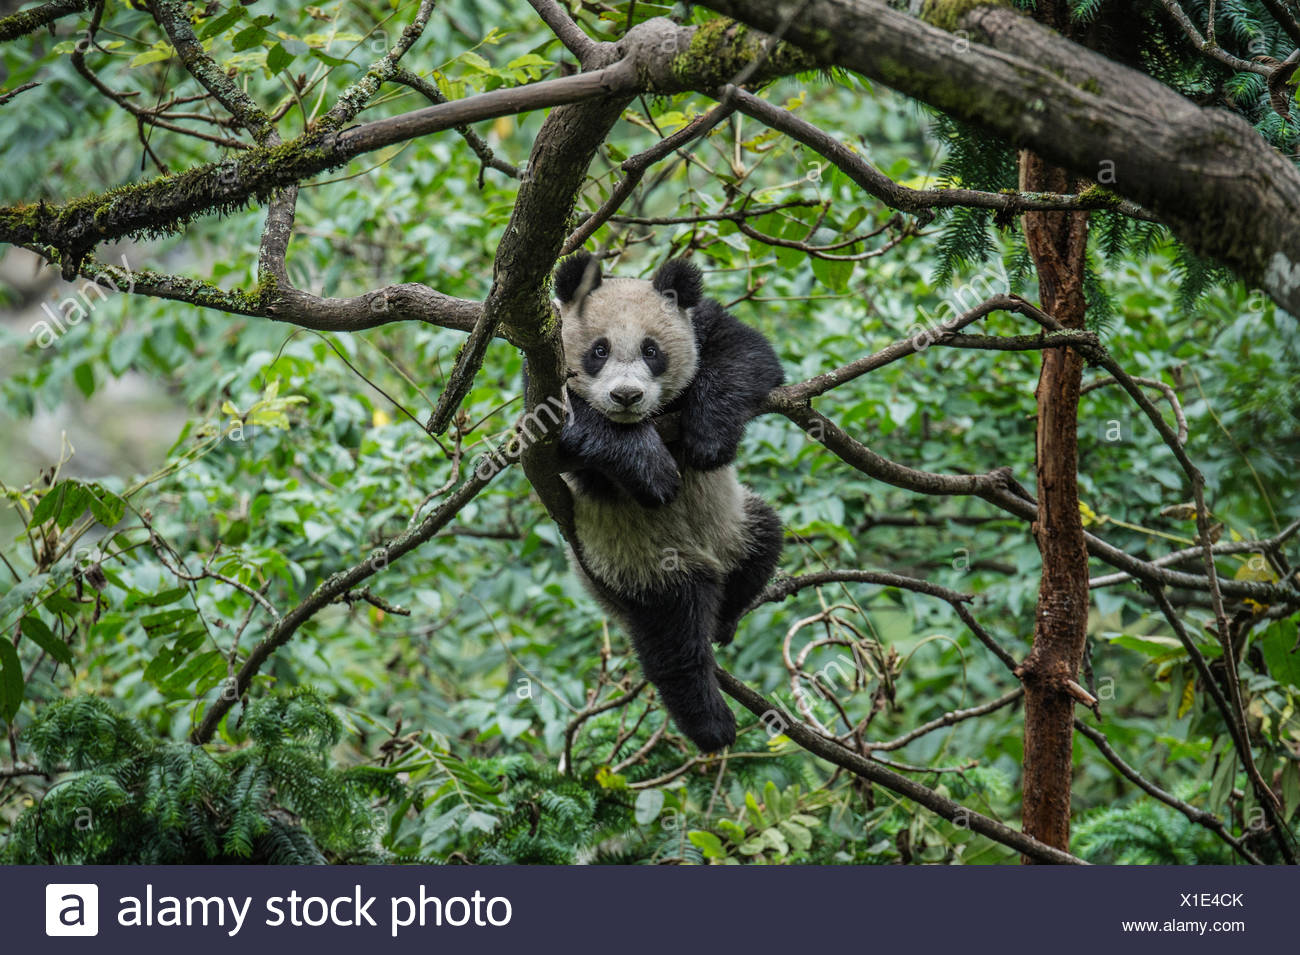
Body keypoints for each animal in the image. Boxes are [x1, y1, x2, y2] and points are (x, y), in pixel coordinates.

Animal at [553, 252, 784, 752]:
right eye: (598, 351)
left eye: (651, 351)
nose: (626, 396)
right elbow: (573, 427)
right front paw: (653, 472)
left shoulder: (701, 325)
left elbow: (746, 354)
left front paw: (708, 439)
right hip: (641, 562)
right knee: (673, 637)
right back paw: (711, 723)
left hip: (735, 521)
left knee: (764, 539)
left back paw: (725, 619)